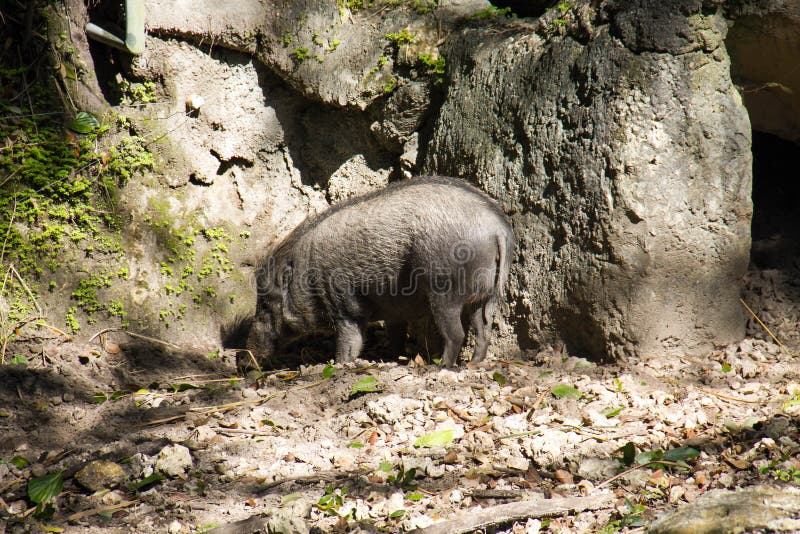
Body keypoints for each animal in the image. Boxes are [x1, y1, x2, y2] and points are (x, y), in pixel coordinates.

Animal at [241, 176, 514, 370]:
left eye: (265, 305)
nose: (243, 361)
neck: (308, 274)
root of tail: (495, 228)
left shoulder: (345, 307)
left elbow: (350, 343)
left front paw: (339, 366)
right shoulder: (394, 311)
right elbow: (395, 336)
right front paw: (392, 357)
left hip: (445, 292)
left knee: (456, 333)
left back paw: (441, 367)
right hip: (486, 297)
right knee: (484, 329)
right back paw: (474, 363)